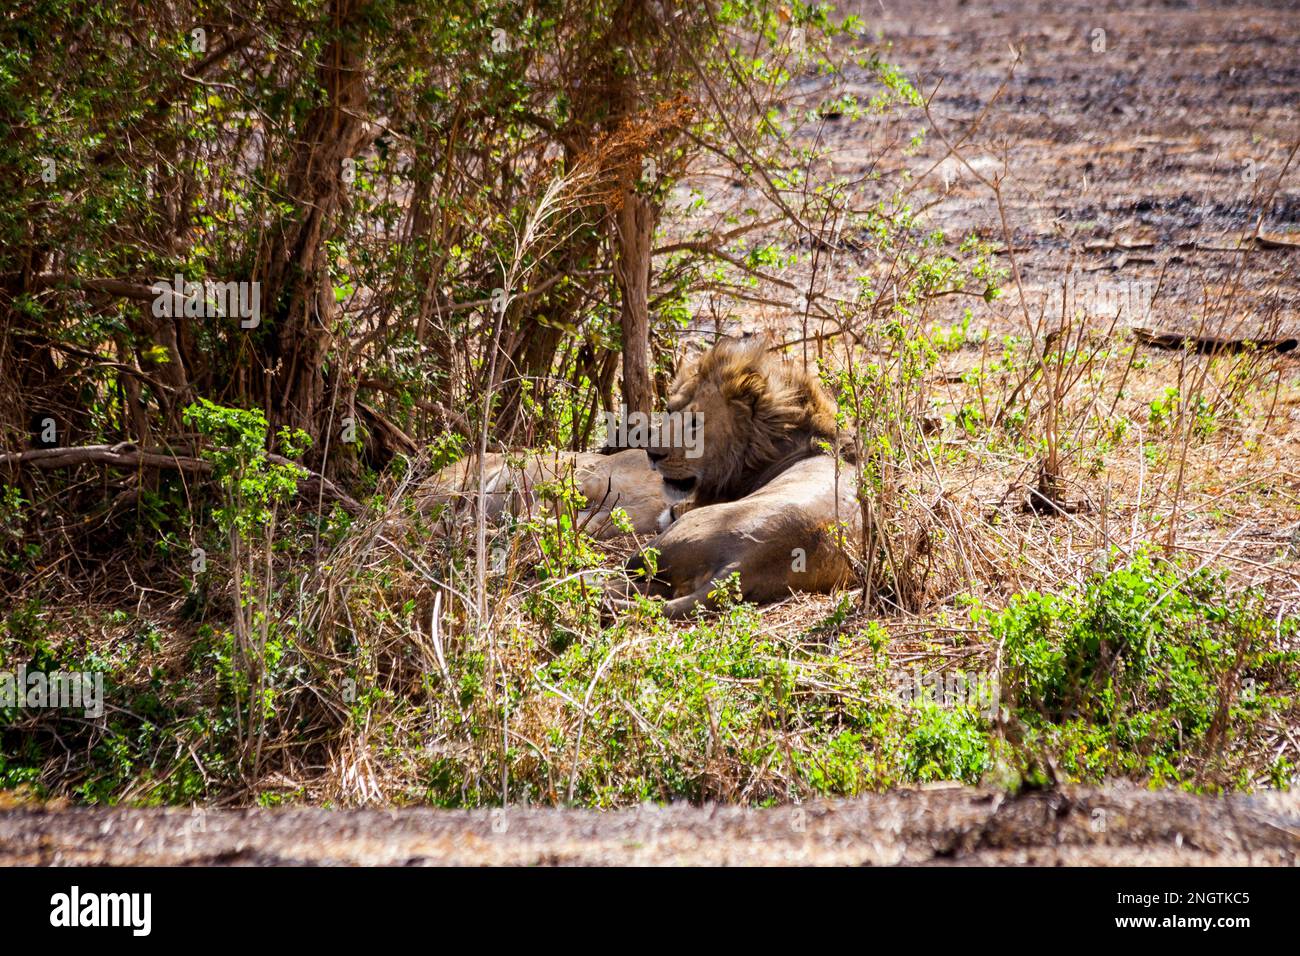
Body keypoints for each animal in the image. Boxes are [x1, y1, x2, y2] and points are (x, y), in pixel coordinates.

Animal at [417, 447, 687, 539]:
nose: (678, 512)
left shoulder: (612, 519)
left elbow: (579, 527)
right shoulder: (590, 475)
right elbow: (542, 508)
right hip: (449, 488)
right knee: (408, 515)